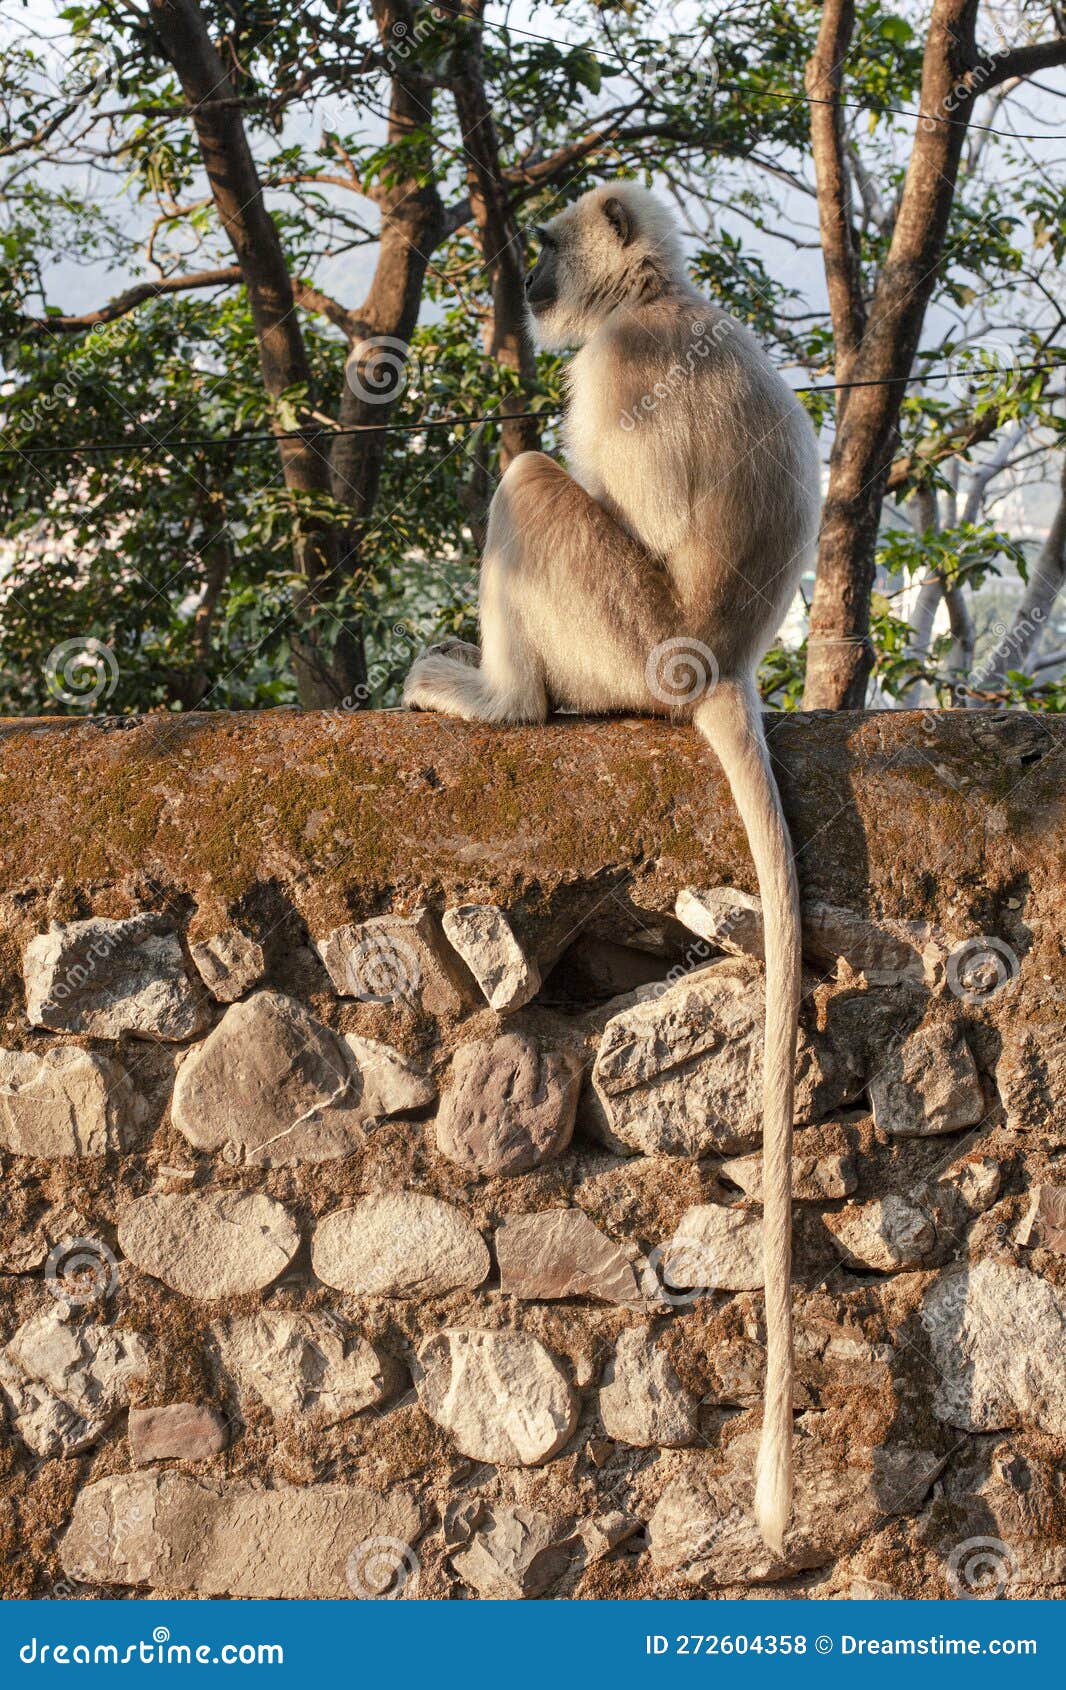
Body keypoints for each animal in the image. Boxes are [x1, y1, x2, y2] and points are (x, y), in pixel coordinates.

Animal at [402, 181, 820, 1553]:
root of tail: (719, 666)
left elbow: (572, 467)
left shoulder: (615, 367)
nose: (527, 284)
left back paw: (501, 703)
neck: (657, 300)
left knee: (534, 484)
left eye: (544, 249)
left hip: (620, 637)